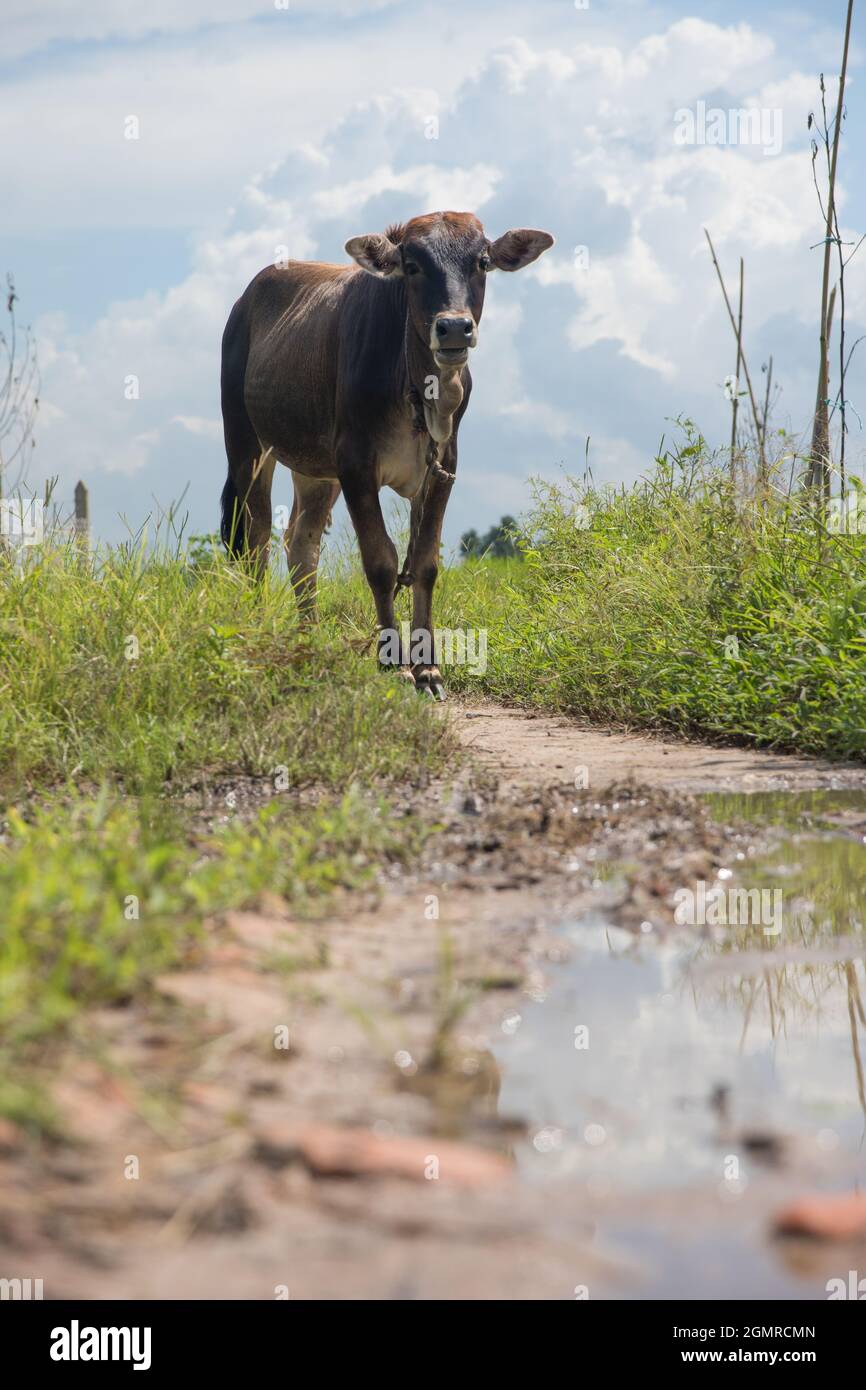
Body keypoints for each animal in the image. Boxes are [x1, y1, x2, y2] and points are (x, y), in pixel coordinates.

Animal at [219, 210, 554, 698]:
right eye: (412, 266)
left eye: (482, 262)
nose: (454, 327)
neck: (419, 386)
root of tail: (245, 300)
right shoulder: (356, 467)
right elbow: (381, 562)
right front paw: (394, 665)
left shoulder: (442, 468)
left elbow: (424, 564)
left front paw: (428, 669)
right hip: (248, 446)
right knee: (256, 539)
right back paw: (260, 626)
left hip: (315, 471)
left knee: (301, 544)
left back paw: (309, 639)